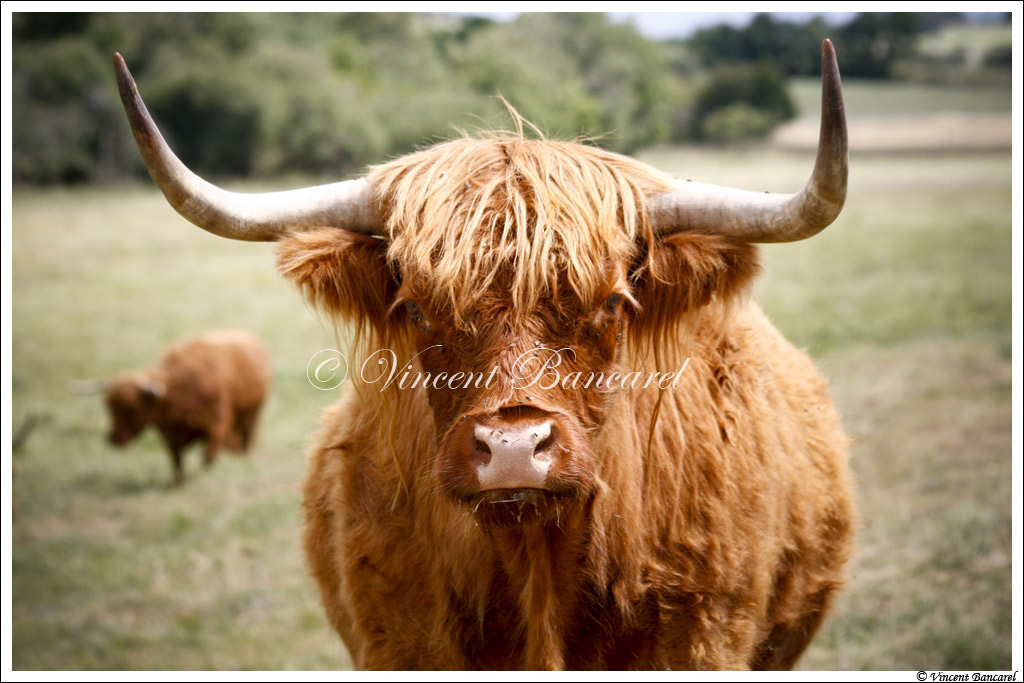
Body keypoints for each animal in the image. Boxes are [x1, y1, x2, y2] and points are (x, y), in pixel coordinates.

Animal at [99, 331, 270, 486]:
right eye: (110, 407)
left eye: (131, 408)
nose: (113, 438)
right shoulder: (171, 437)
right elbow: (177, 461)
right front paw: (179, 483)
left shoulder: (215, 428)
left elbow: (207, 458)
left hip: (251, 416)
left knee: (246, 437)